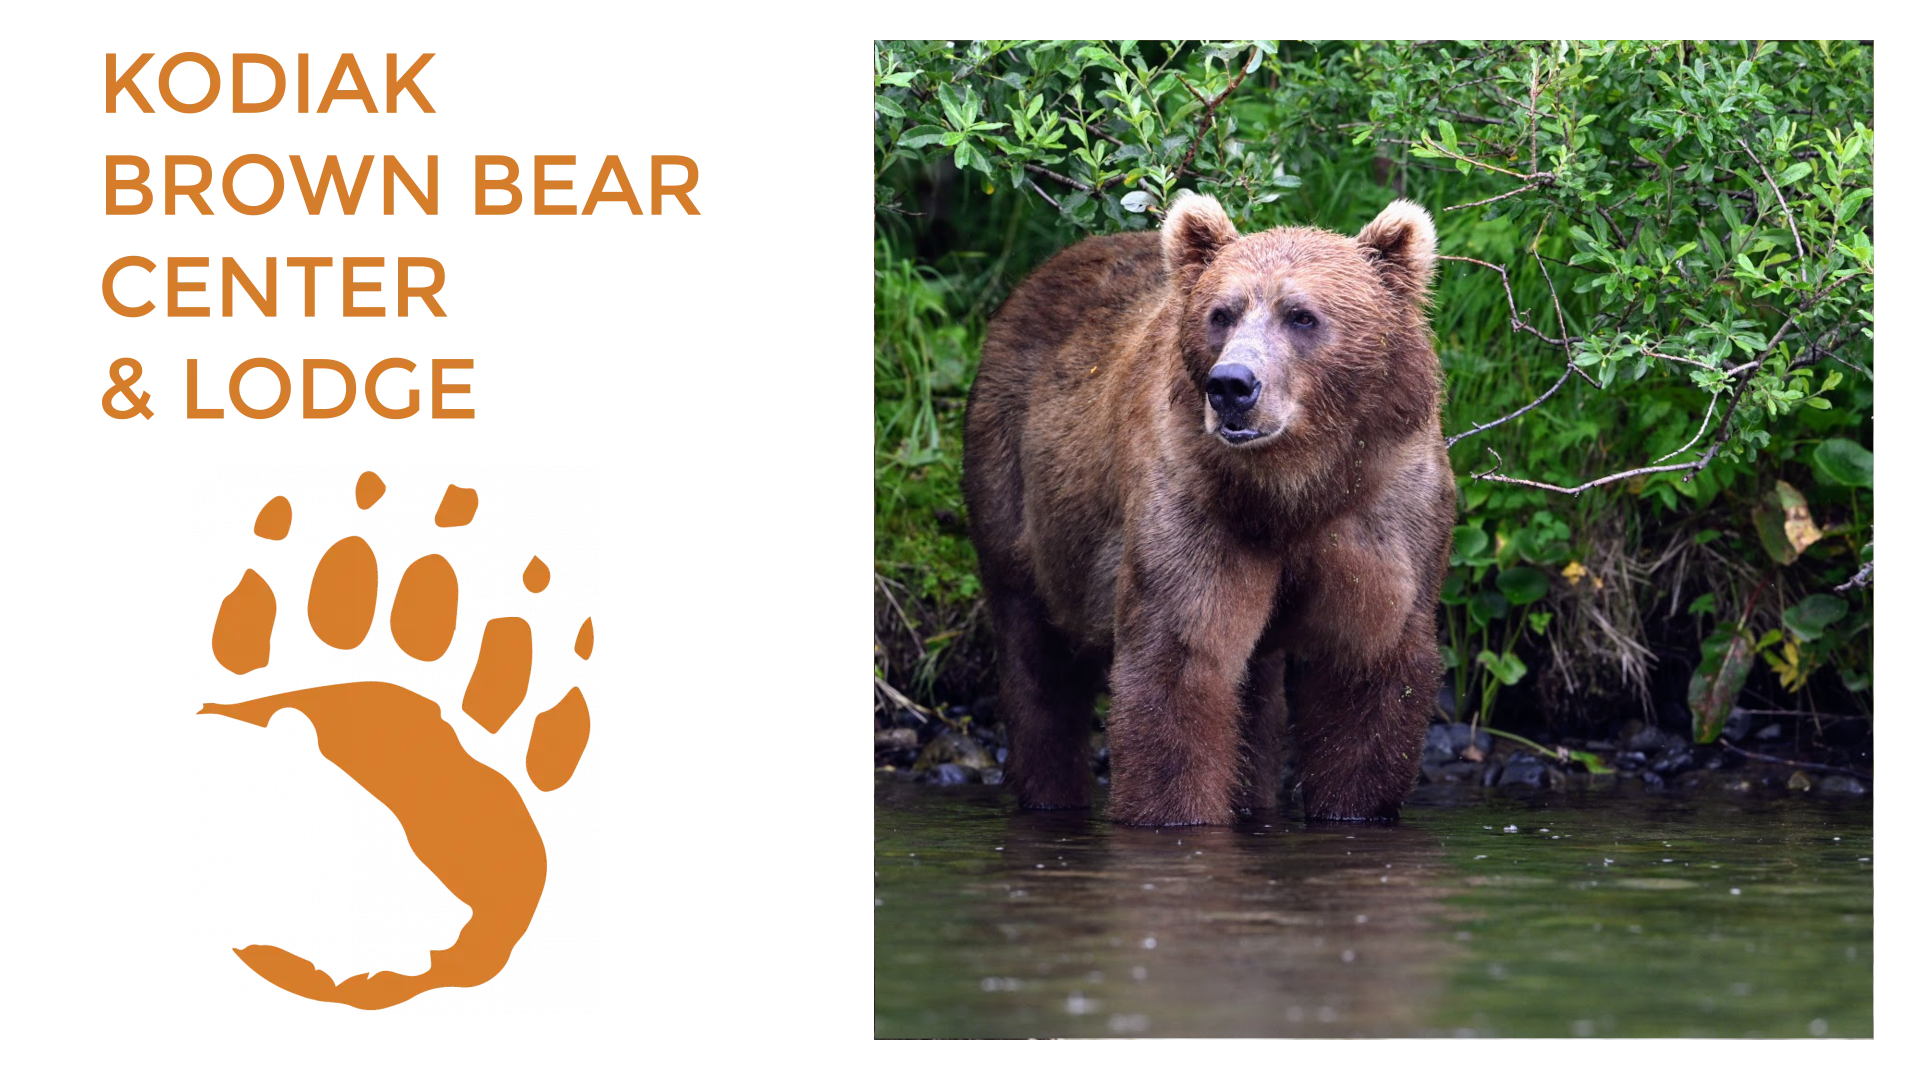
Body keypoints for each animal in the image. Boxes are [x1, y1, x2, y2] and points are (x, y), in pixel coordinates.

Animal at [962, 190, 1454, 826]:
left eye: (1301, 315)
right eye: (1222, 313)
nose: (1232, 385)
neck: (1292, 487)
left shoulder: (1382, 507)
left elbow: (1368, 668)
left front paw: (1356, 806)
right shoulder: (1195, 500)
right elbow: (1181, 660)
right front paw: (1174, 812)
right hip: (1018, 487)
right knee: (1037, 658)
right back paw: (1051, 793)